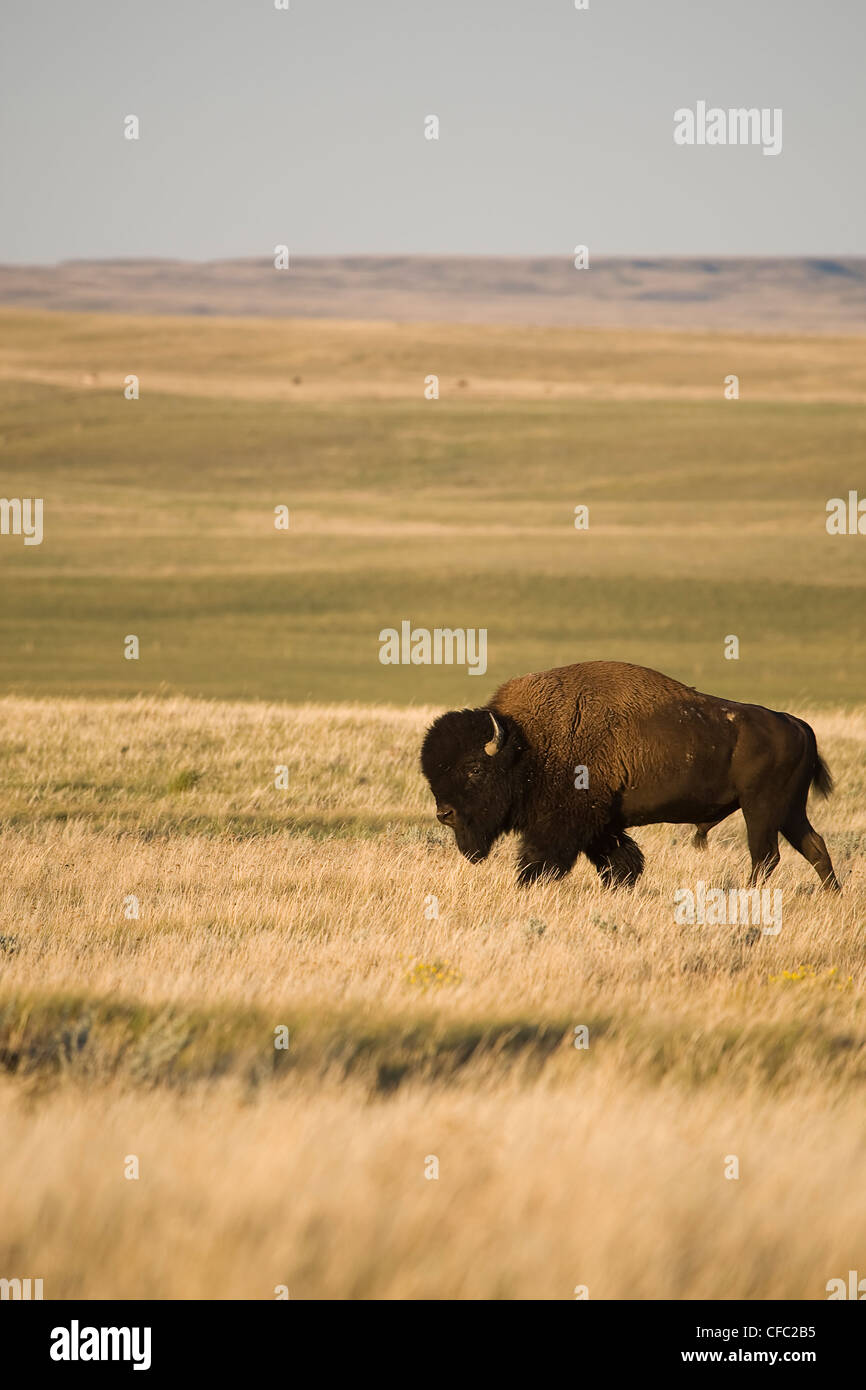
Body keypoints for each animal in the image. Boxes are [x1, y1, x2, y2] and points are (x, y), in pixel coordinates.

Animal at [420, 660, 840, 890]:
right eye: (432, 775)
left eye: (474, 768)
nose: (445, 814)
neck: (529, 743)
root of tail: (796, 724)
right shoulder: (600, 825)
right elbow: (622, 862)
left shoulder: (564, 824)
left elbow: (538, 862)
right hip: (789, 810)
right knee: (814, 847)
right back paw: (833, 895)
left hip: (761, 808)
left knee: (765, 856)